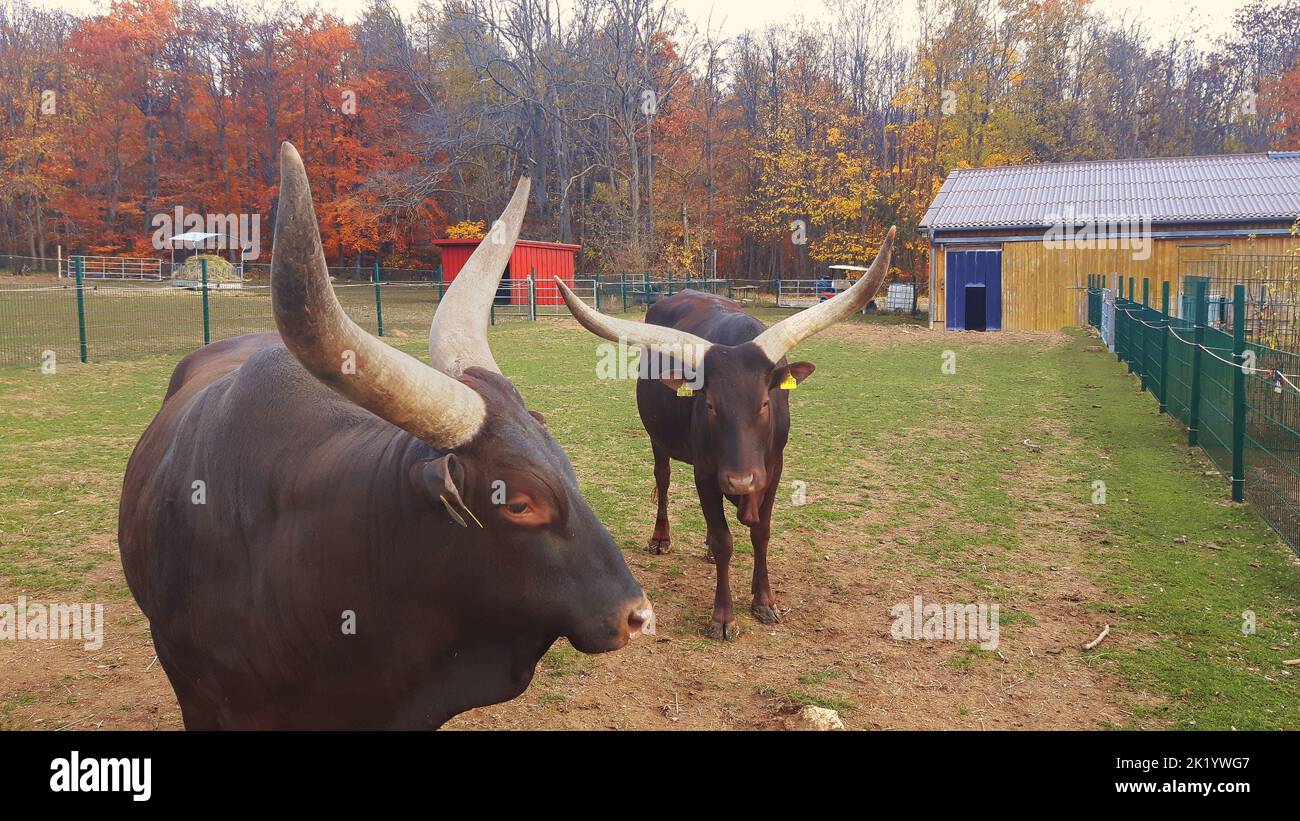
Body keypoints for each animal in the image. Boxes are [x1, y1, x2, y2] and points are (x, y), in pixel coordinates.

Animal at [556, 230, 894, 640]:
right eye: (711, 404)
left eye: (765, 402)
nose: (740, 480)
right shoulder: (707, 470)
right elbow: (723, 541)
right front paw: (723, 616)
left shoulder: (773, 469)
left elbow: (761, 533)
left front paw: (763, 601)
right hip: (660, 441)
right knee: (664, 480)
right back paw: (661, 537)